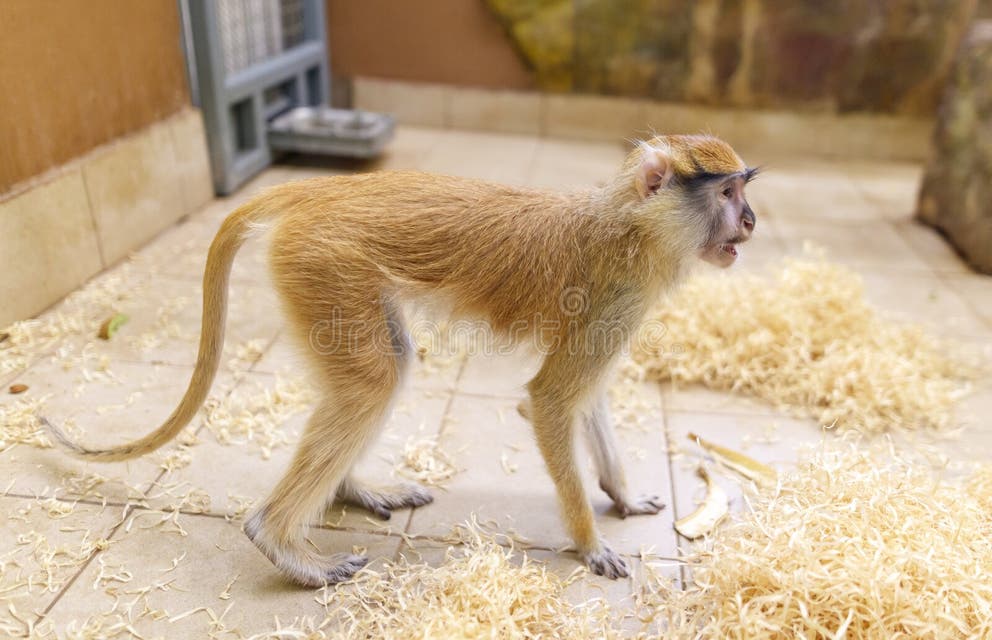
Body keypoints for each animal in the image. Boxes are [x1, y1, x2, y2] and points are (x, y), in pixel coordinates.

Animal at [45, 134, 757, 587]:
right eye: (725, 192)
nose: (749, 221)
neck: (631, 218)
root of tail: (315, 195)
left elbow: (587, 399)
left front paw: (622, 496)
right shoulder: (615, 293)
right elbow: (553, 398)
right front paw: (590, 543)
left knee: (385, 366)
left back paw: (350, 489)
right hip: (327, 265)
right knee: (375, 378)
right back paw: (281, 543)